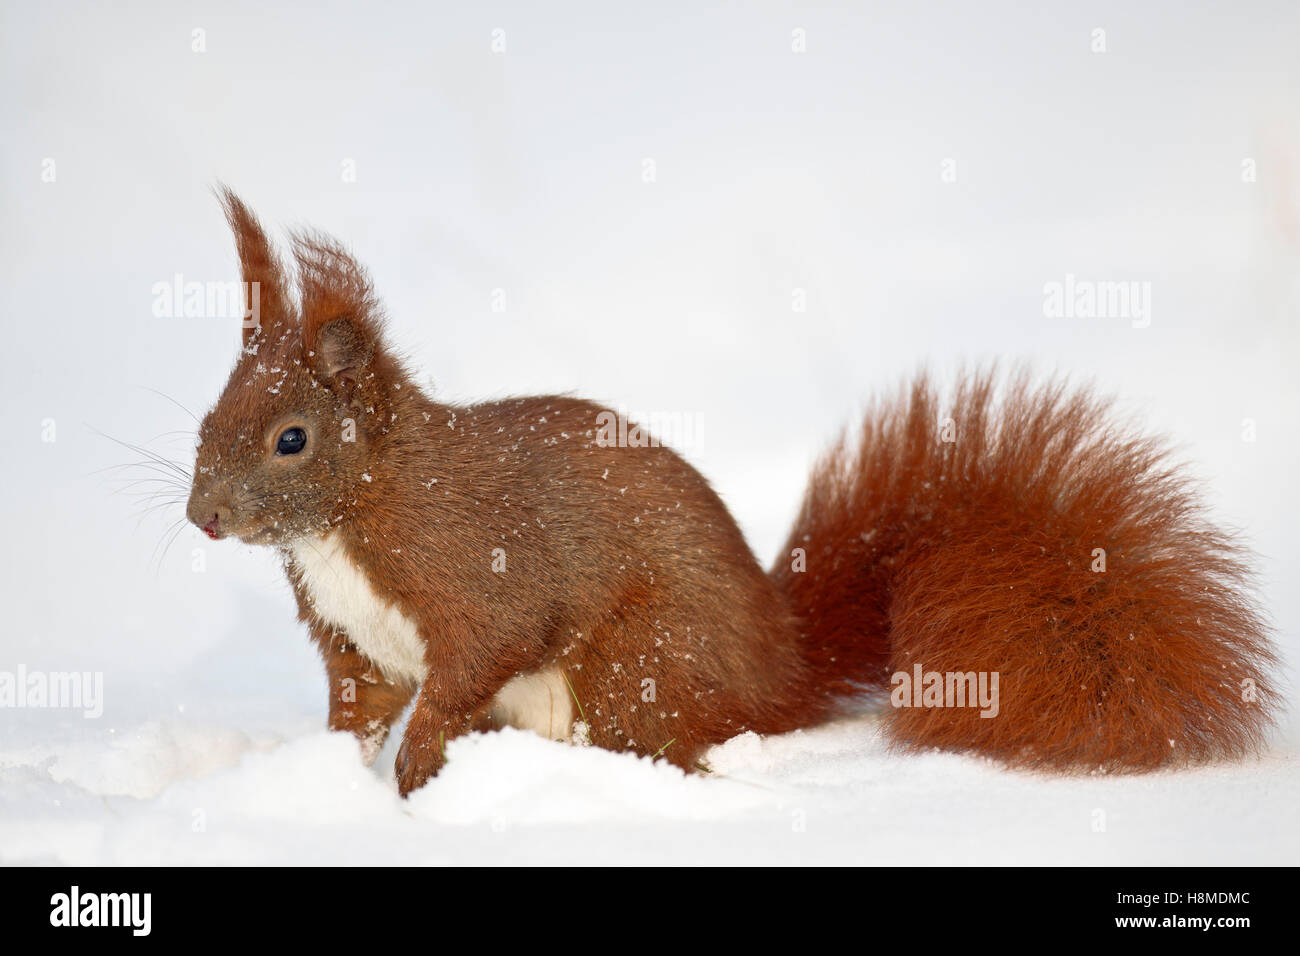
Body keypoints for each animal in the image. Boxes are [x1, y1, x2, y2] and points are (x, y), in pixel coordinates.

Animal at [185, 190, 1277, 796]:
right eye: (206, 419)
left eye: (291, 439)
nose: (202, 519)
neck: (355, 514)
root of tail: (779, 672)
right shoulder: (353, 639)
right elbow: (360, 707)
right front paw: (326, 781)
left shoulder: (475, 571)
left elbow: (479, 655)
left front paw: (414, 769)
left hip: (635, 661)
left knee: (659, 743)